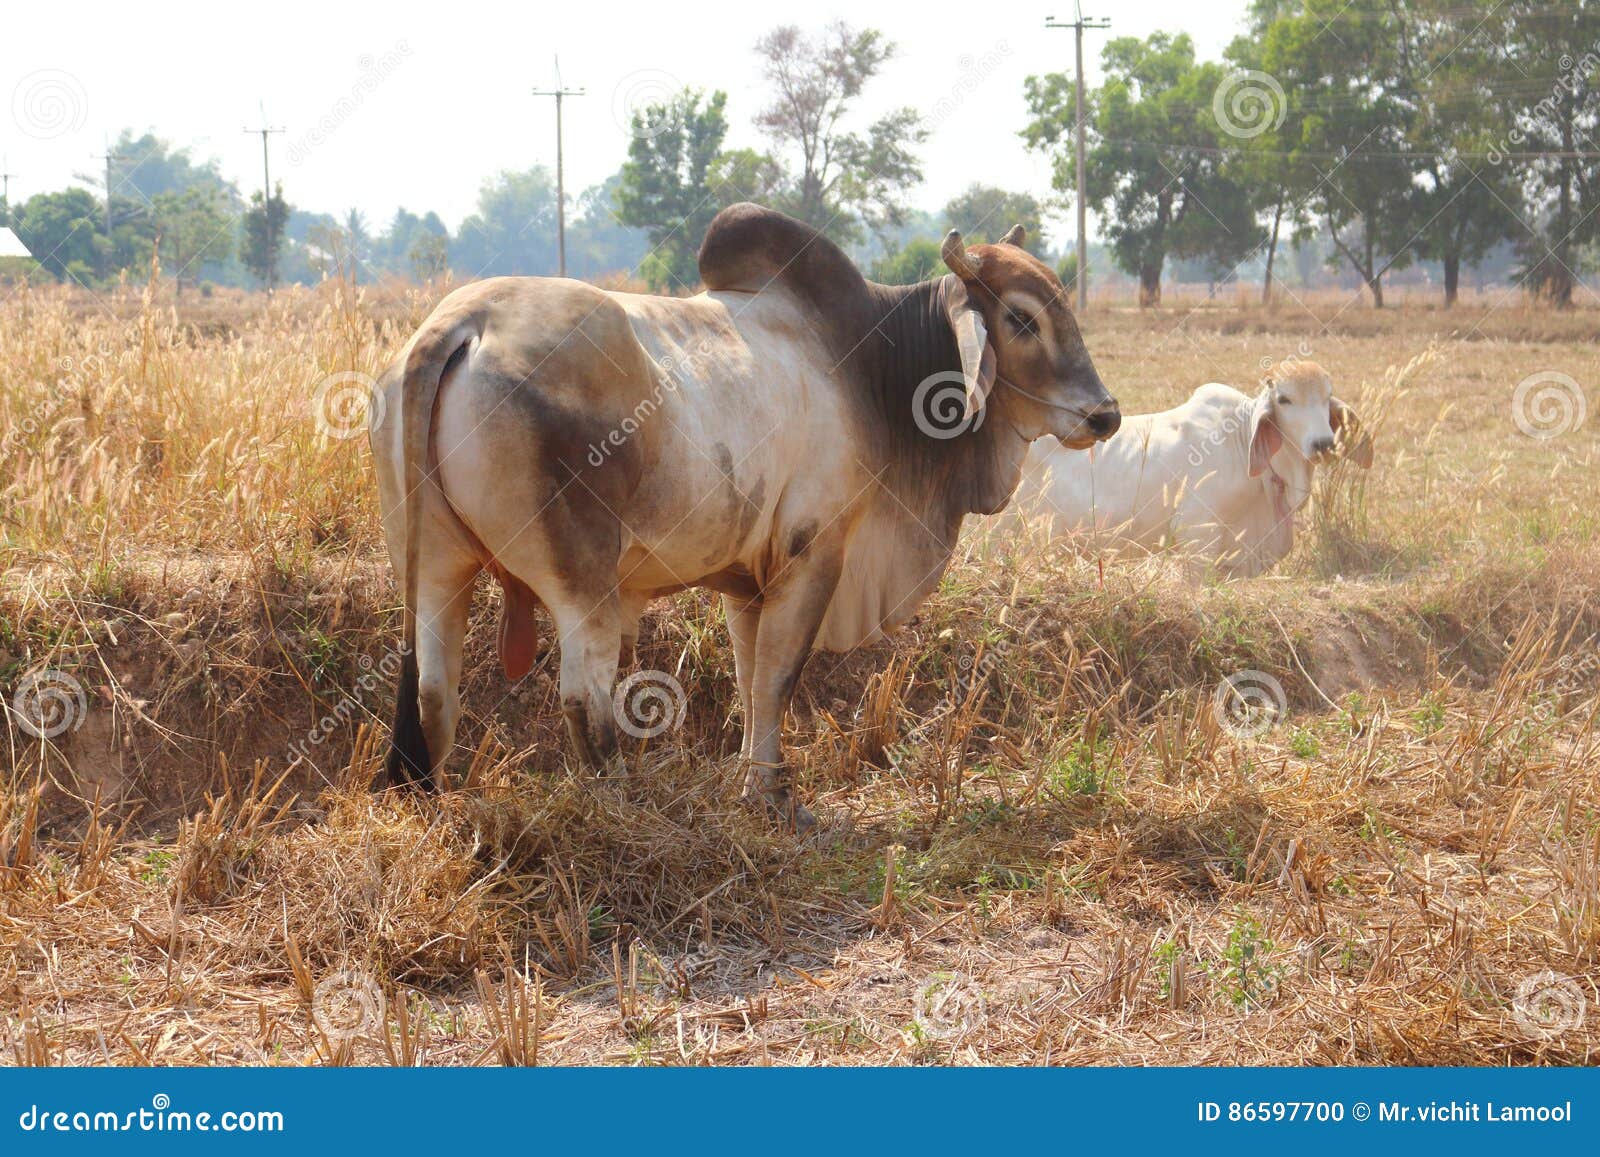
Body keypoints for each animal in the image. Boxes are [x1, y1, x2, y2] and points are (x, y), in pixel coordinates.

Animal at [370, 203, 1119, 831]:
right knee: (585, 697)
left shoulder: (746, 583)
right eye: (1021, 318)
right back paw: (624, 809)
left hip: (435, 569)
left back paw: (440, 803)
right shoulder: (812, 557)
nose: (1105, 414)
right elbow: (779, 680)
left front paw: (755, 785)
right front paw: (772, 794)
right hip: (582, 584)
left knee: (435, 692)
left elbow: (750, 679)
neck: (874, 368)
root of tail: (463, 323)